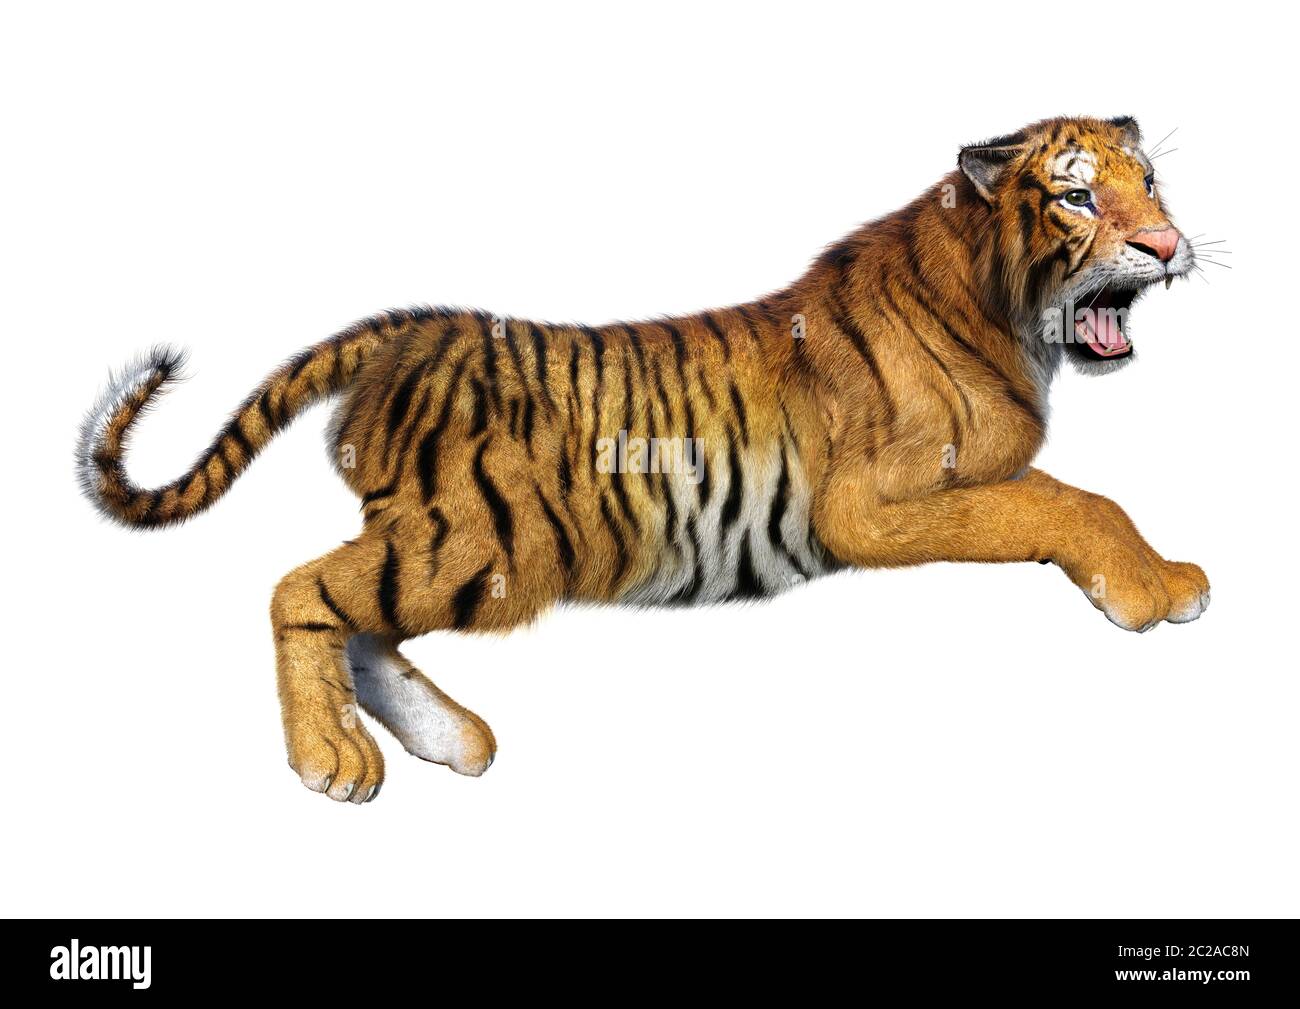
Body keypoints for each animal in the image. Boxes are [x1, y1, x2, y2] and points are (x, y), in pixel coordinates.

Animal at [78, 115, 1210, 804]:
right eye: (1076, 197)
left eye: (1150, 181)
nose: (1166, 245)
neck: (1010, 313)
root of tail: (410, 329)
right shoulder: (872, 503)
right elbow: (1068, 501)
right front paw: (1155, 591)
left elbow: (1072, 496)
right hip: (492, 547)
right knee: (301, 588)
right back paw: (332, 758)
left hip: (455, 546)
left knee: (356, 611)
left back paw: (453, 738)